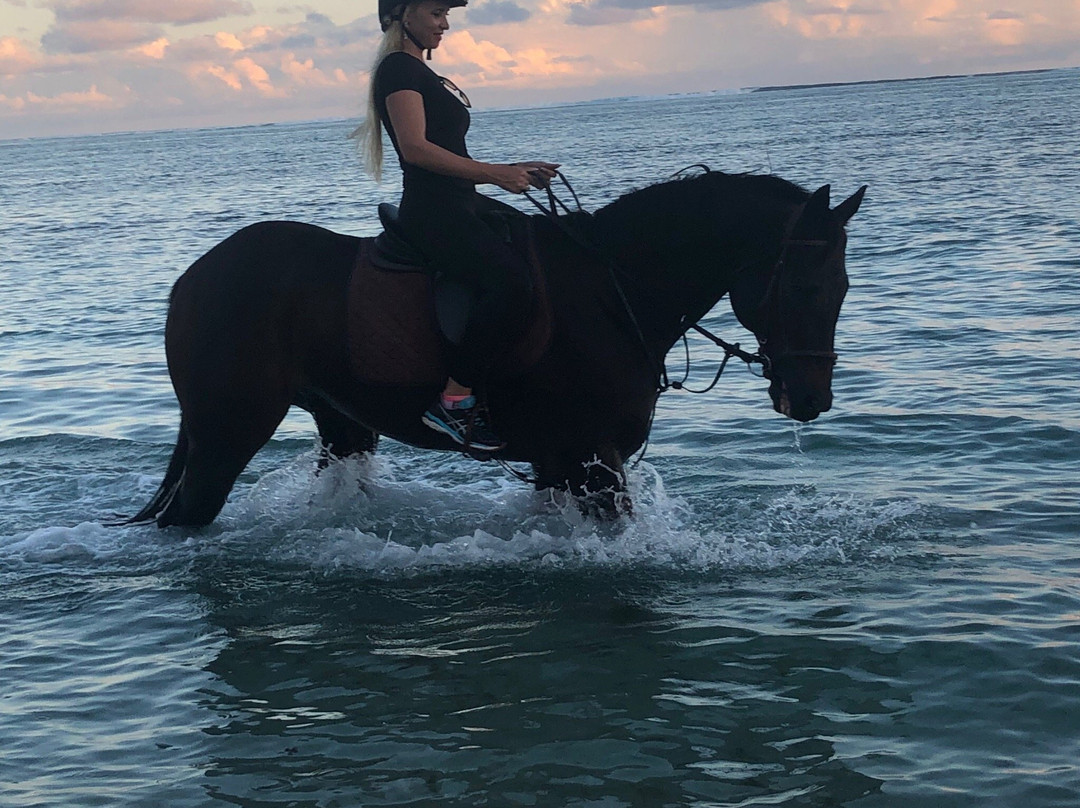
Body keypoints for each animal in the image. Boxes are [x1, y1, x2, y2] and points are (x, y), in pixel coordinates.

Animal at [127, 170, 866, 527]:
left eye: (842, 286)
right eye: (803, 286)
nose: (811, 398)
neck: (613, 289)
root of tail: (190, 280)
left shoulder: (557, 460)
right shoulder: (594, 459)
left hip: (341, 422)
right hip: (229, 429)